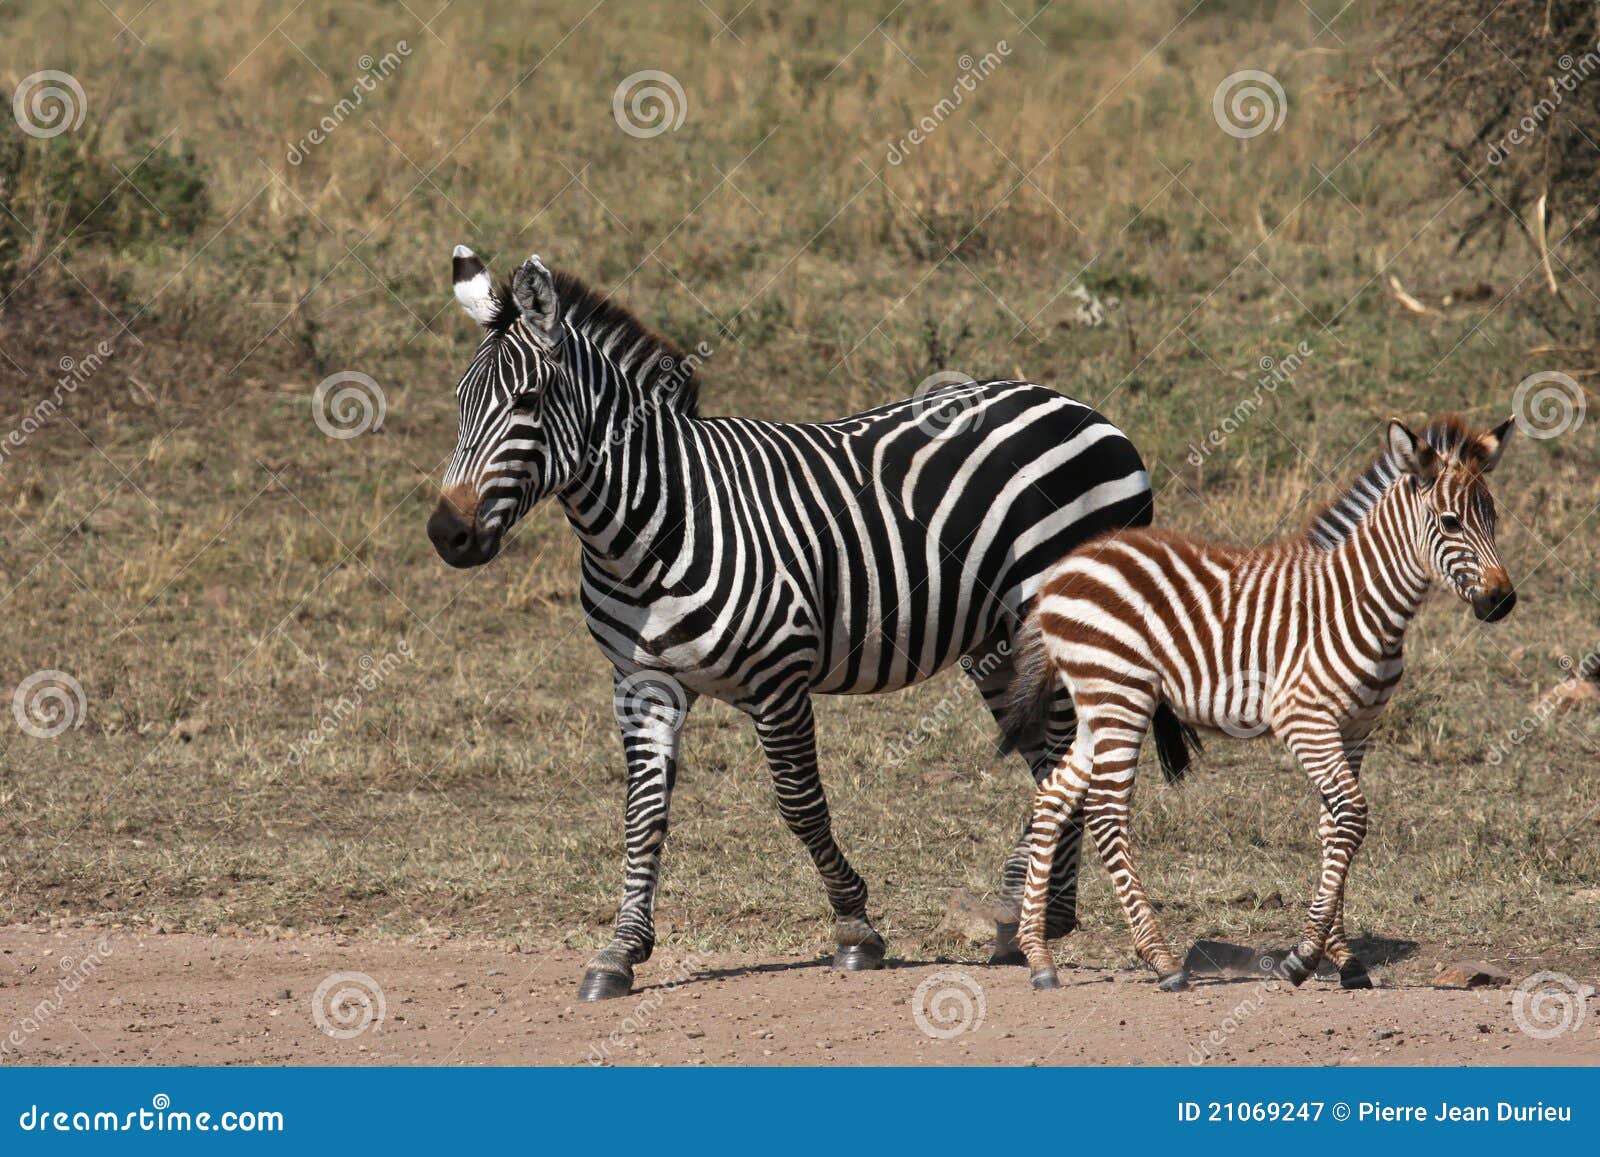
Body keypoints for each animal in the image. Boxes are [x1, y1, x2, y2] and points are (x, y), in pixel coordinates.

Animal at [426, 246, 1197, 1000]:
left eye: (527, 402)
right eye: (459, 404)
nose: (446, 534)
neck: (652, 524)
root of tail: (1086, 410)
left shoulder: (779, 677)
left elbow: (800, 806)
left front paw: (856, 927)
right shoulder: (642, 683)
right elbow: (642, 814)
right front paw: (621, 951)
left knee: (1074, 751)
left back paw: (1041, 913)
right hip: (1000, 643)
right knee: (1052, 757)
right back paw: (1031, 914)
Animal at [1001, 414, 1518, 992]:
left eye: (1493, 518)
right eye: (1450, 523)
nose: (1502, 601)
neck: (1361, 604)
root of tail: (1061, 571)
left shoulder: (1355, 729)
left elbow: (1334, 827)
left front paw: (1343, 958)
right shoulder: (1304, 719)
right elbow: (1352, 816)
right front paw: (1303, 957)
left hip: (1098, 703)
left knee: (1053, 795)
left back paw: (1038, 956)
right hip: (1121, 694)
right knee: (1107, 811)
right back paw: (1161, 960)